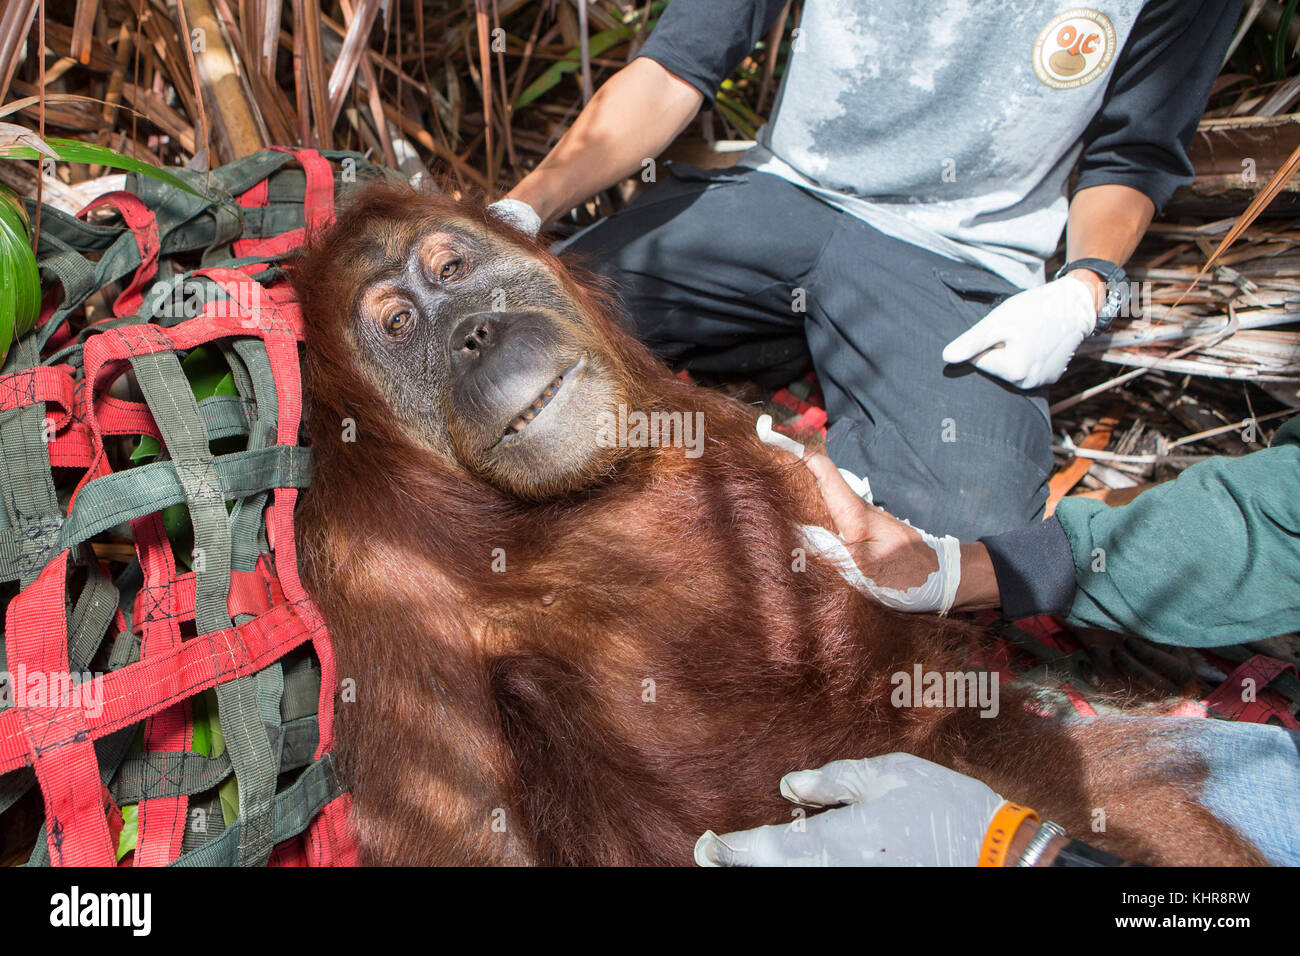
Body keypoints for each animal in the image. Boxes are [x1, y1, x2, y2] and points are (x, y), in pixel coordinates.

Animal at [288, 181, 1265, 866]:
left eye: (452, 272)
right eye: (400, 325)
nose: (475, 336)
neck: (570, 498)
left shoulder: (718, 421)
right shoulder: (376, 587)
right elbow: (462, 838)